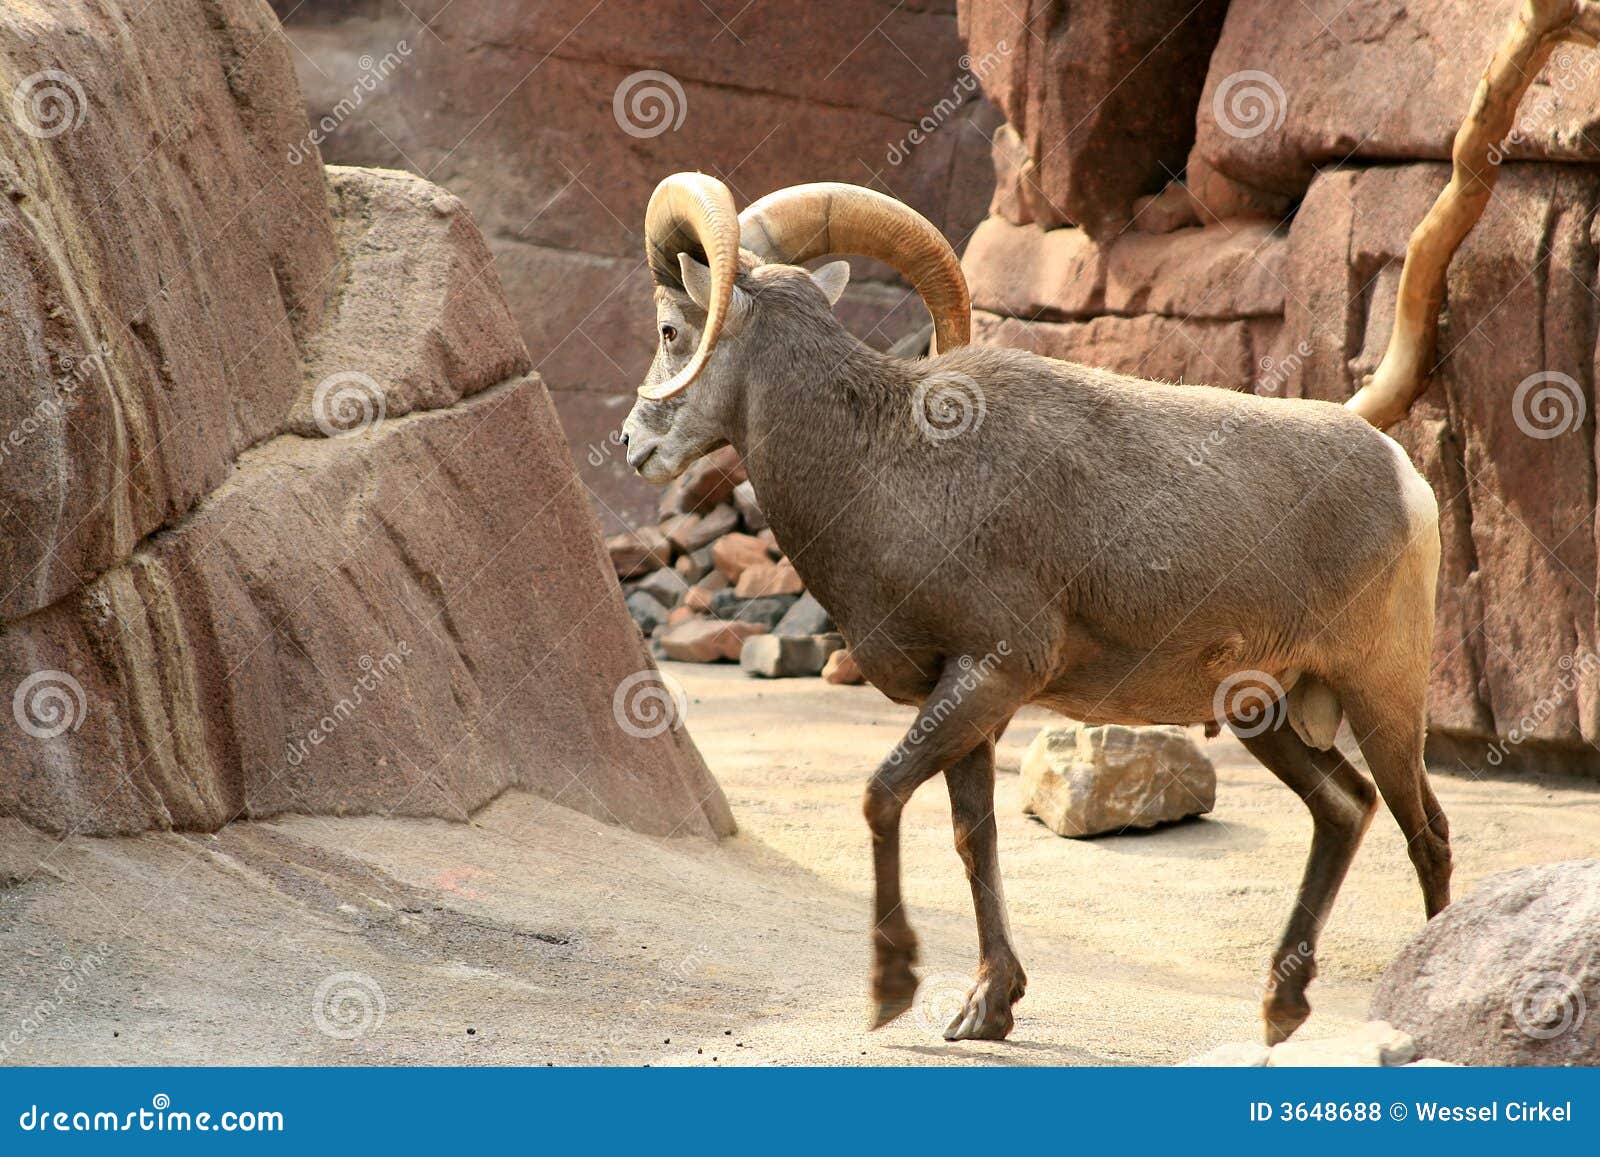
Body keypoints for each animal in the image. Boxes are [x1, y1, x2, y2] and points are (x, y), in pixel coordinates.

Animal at [620, 172, 1450, 1044]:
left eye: (671, 328)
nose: (631, 443)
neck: (886, 467)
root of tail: (1403, 478)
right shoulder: (967, 704)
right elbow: (972, 836)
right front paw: (987, 1007)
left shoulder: (990, 674)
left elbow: (883, 795)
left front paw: (893, 990)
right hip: (1267, 714)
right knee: (1344, 810)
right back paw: (1281, 1010)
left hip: (1383, 699)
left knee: (1427, 833)